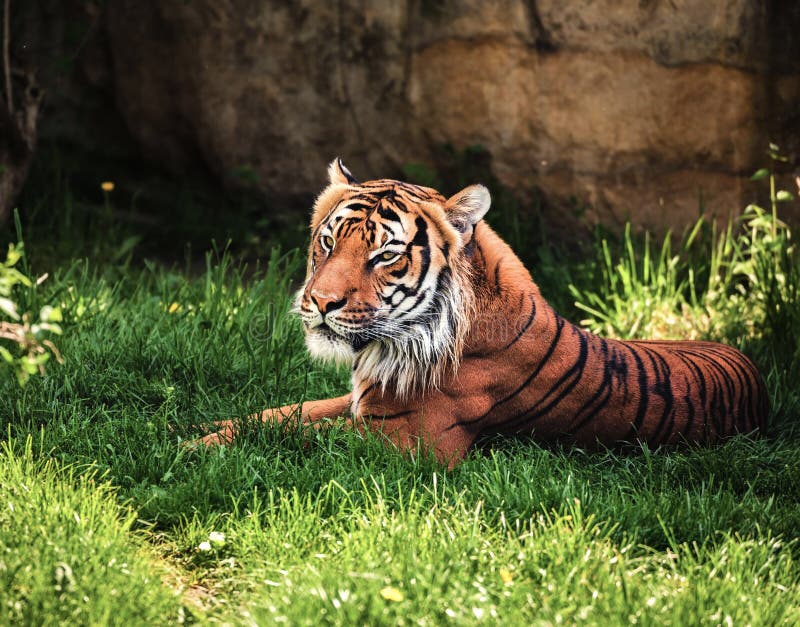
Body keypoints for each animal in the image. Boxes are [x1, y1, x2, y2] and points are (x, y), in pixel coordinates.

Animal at [199, 158, 769, 467]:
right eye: (328, 241)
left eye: (384, 255)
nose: (320, 303)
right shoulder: (361, 402)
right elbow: (279, 414)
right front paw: (204, 425)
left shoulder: (405, 440)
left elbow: (283, 433)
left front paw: (195, 447)